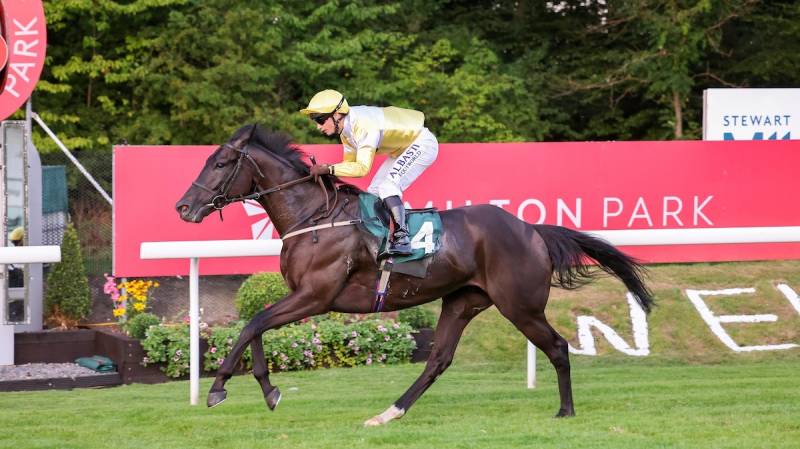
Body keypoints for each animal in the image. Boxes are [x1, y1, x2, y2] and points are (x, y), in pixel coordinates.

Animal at [175, 124, 654, 426]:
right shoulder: (302, 297)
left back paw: (565, 411)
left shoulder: (315, 295)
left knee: (557, 347)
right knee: (438, 360)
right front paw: (268, 389)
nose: (183, 207)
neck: (314, 216)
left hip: (519, 305)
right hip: (463, 300)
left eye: (220, 164)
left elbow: (253, 323)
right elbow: (254, 326)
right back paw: (389, 413)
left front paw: (218, 389)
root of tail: (531, 229)